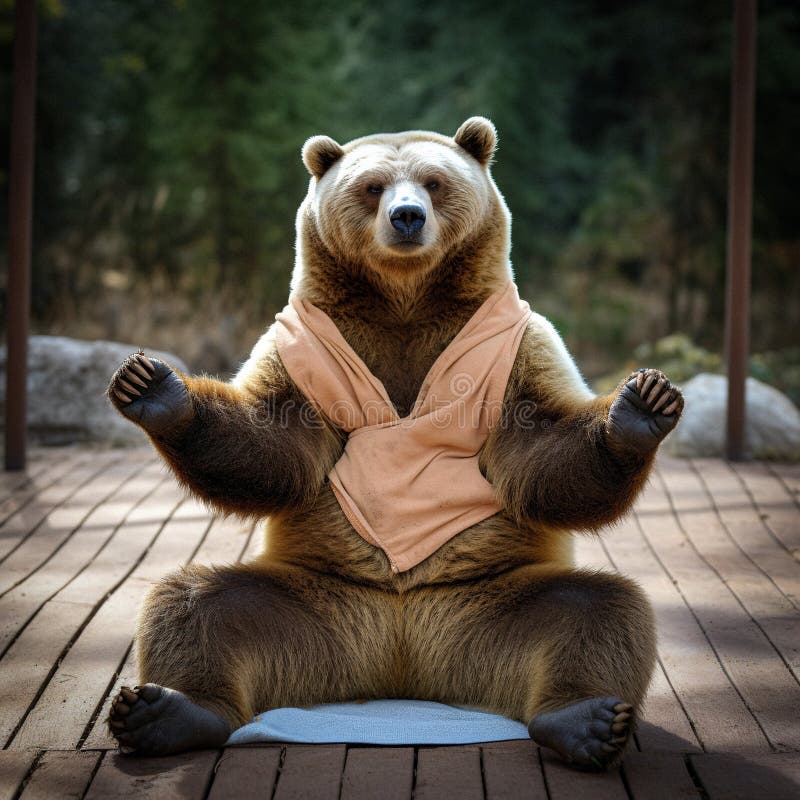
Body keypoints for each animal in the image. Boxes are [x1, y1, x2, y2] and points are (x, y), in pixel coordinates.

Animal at [105, 117, 683, 770]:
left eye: (433, 181)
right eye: (374, 186)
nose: (408, 217)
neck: (404, 300)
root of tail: (399, 658)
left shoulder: (519, 349)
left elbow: (544, 449)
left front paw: (641, 404)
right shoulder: (303, 347)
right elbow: (273, 444)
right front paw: (153, 386)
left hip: (483, 601)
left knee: (597, 610)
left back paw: (585, 717)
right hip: (323, 602)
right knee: (198, 602)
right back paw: (167, 710)